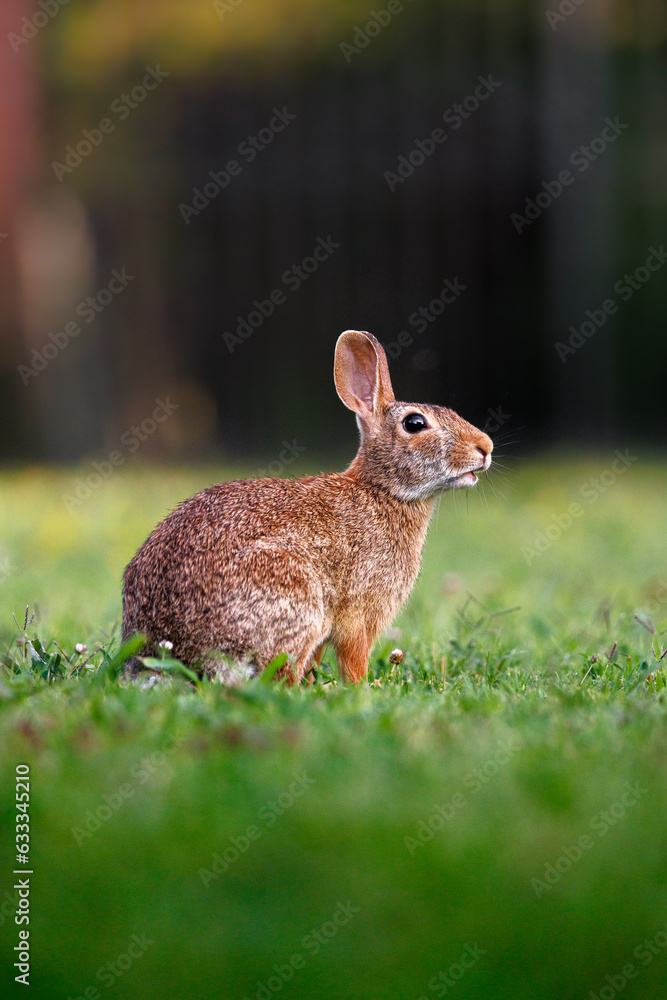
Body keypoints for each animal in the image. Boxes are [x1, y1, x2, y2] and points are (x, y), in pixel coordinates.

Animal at [122, 330, 492, 683]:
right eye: (415, 424)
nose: (485, 447)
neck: (383, 490)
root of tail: (173, 649)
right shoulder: (360, 613)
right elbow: (353, 659)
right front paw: (363, 688)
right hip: (292, 597)